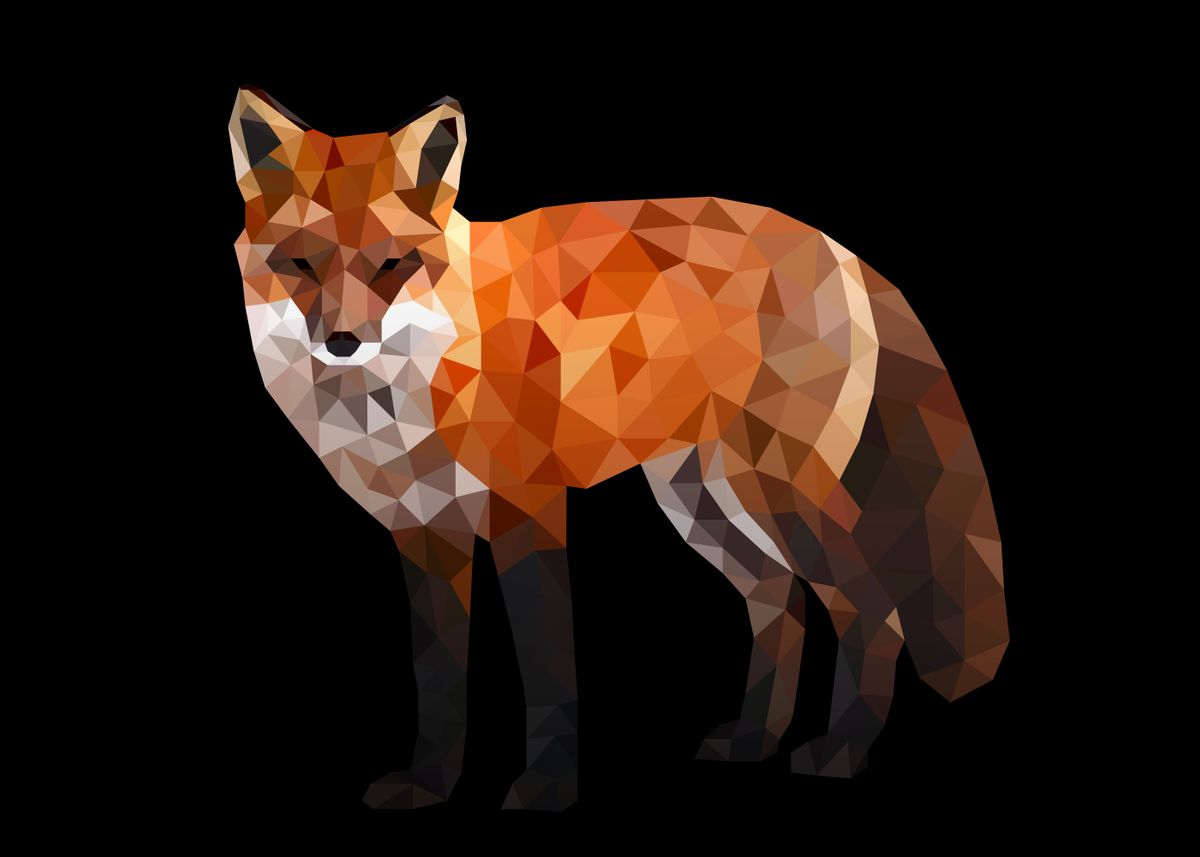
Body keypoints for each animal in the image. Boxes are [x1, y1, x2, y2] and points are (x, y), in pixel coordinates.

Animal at [230, 87, 1009, 811]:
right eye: (300, 263)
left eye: (393, 264)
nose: (342, 342)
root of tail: (838, 246)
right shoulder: (424, 533)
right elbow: (441, 677)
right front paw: (430, 784)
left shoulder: (529, 513)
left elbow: (548, 669)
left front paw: (546, 787)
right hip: (704, 506)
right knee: (779, 603)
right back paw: (754, 739)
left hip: (781, 497)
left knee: (874, 613)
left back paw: (840, 749)